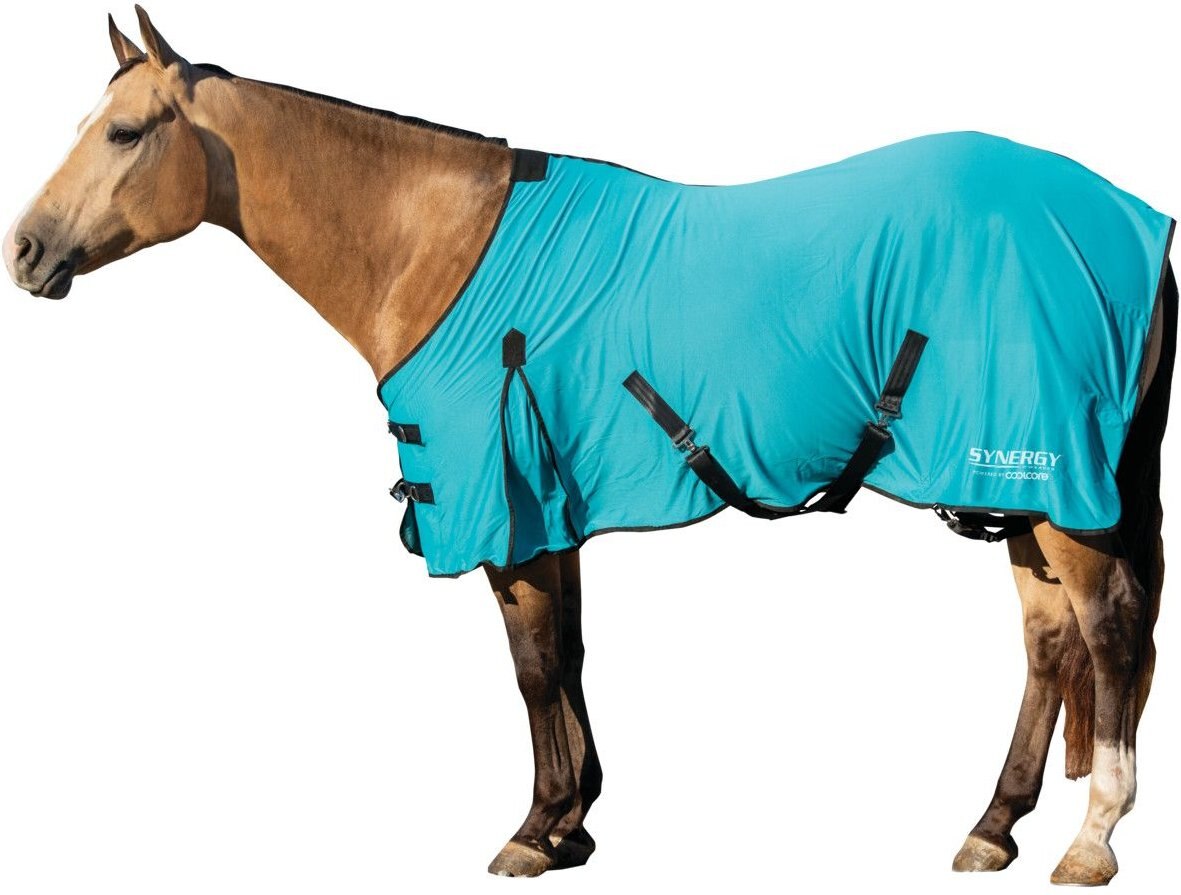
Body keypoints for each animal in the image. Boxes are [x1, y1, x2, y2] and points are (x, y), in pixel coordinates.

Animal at [4, 7, 1174, 885]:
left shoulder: (504, 503)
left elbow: (529, 668)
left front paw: (533, 830)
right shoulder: (548, 502)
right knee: (1046, 644)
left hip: (1054, 485)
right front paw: (573, 824)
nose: (24, 250)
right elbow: (564, 656)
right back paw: (992, 826)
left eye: (123, 133)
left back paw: (1089, 841)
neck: (439, 249)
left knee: (1109, 631)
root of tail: (1130, 220)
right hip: (1011, 484)